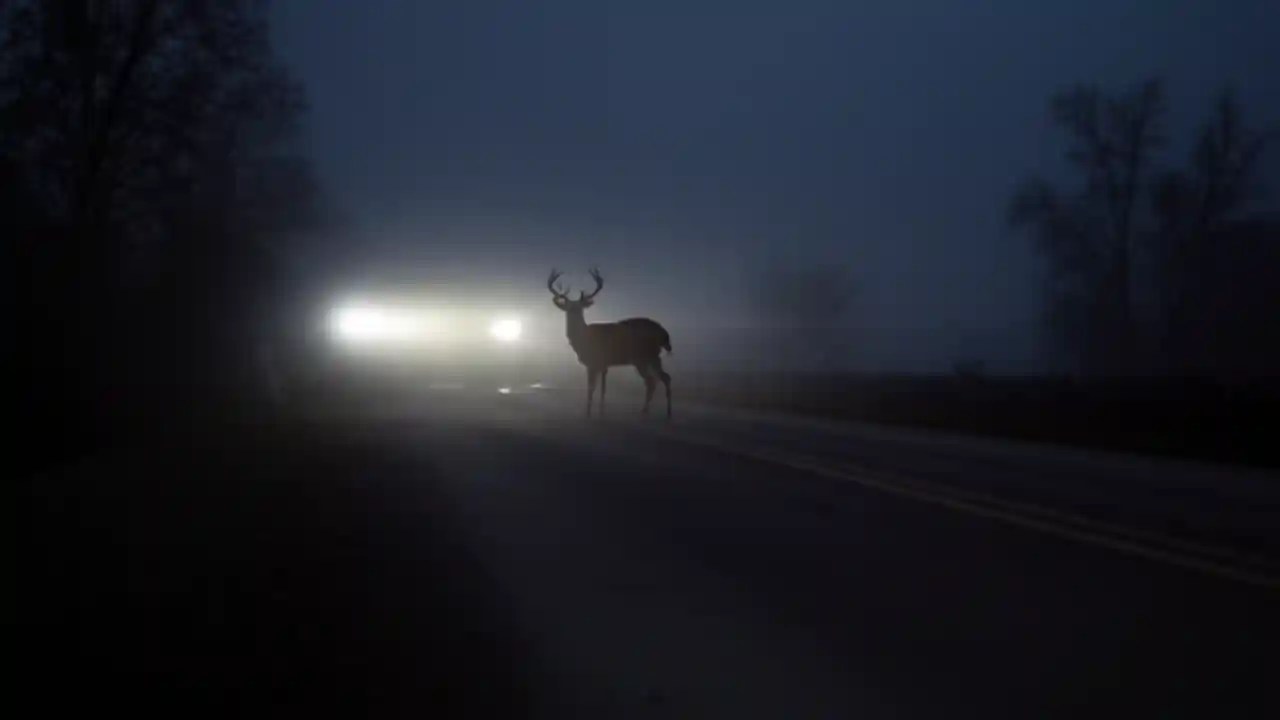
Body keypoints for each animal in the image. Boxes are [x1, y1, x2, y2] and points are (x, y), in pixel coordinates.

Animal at [547, 267, 672, 419]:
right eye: (568, 307)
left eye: (581, 307)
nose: (573, 311)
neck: (582, 339)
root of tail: (664, 333)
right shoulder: (601, 364)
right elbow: (599, 389)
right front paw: (598, 412)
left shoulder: (595, 362)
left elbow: (594, 389)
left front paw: (590, 414)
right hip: (644, 359)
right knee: (653, 381)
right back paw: (645, 411)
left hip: (648, 356)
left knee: (661, 379)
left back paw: (667, 413)